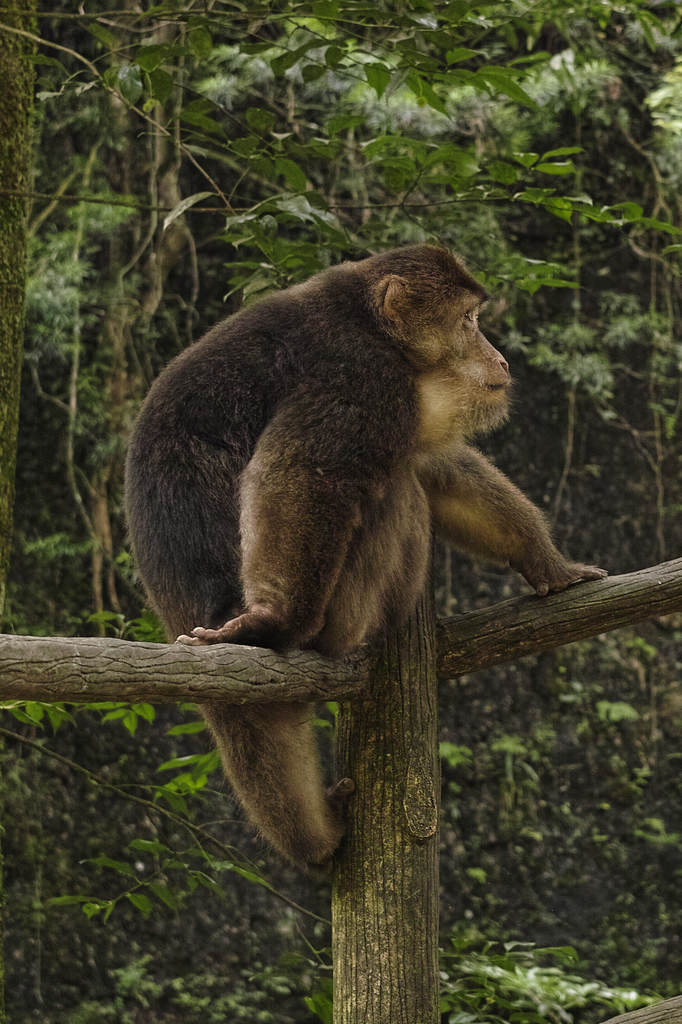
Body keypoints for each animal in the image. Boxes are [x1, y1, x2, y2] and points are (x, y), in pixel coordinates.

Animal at [124, 244, 606, 869]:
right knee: (395, 492)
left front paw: (545, 561)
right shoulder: (361, 376)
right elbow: (302, 474)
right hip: (344, 609)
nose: (499, 357)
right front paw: (270, 622)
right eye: (469, 321)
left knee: (406, 473)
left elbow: (434, 462)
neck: (373, 328)